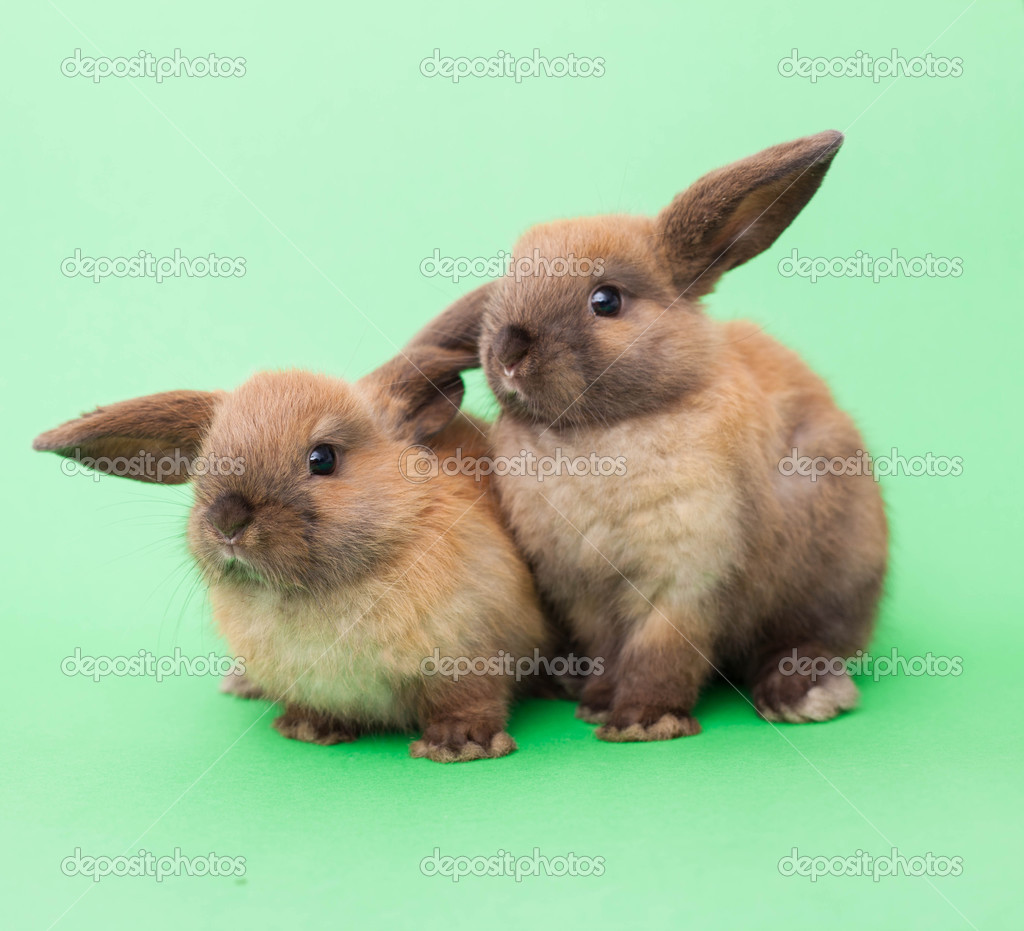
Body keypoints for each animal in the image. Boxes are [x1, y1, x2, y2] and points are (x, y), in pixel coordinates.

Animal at [33, 348, 549, 761]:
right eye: (203, 462)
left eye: (323, 458)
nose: (227, 521)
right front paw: (307, 728)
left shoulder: (472, 655)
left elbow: (469, 701)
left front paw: (461, 746)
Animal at [409, 130, 889, 742]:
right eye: (506, 287)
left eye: (606, 300)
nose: (509, 351)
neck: (596, 431)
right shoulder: (580, 590)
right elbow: (609, 649)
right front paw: (597, 703)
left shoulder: (685, 579)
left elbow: (659, 654)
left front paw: (640, 721)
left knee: (810, 638)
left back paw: (801, 694)